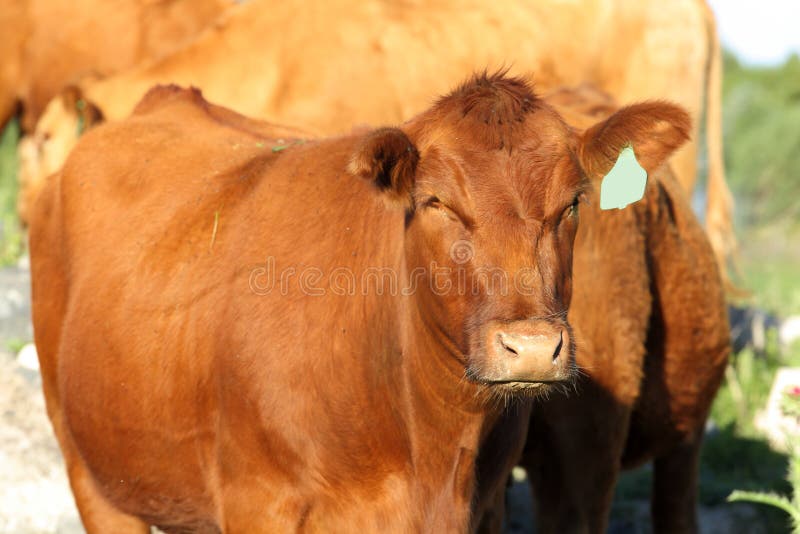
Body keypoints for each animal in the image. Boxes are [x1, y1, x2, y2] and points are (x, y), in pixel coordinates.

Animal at [29, 74, 690, 532]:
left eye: (573, 202)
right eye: (436, 202)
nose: (530, 347)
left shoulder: (488, 503)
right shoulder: (258, 504)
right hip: (91, 469)